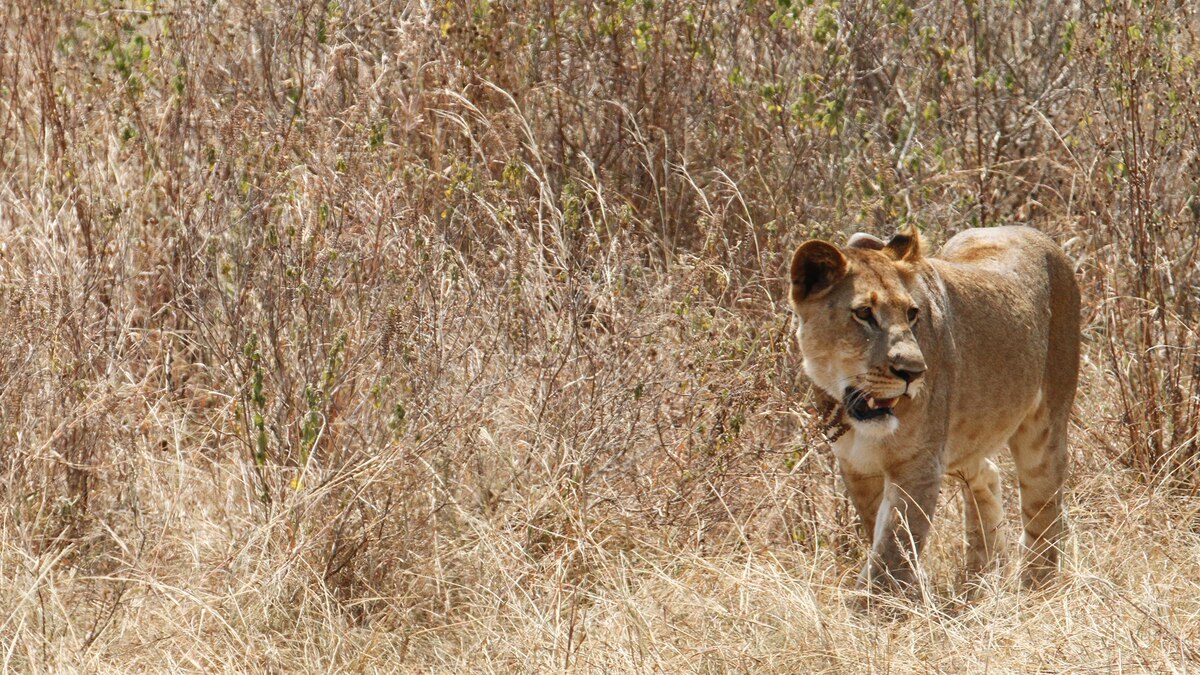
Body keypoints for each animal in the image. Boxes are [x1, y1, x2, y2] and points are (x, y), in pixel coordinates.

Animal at [788, 225, 1080, 593]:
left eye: (912, 314)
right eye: (863, 314)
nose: (914, 372)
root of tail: (1032, 232)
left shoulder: (919, 467)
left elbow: (891, 553)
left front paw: (877, 603)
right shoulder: (857, 467)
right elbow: (882, 537)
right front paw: (911, 592)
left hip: (1042, 431)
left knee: (1044, 512)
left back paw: (1034, 589)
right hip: (963, 436)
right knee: (986, 474)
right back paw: (981, 572)